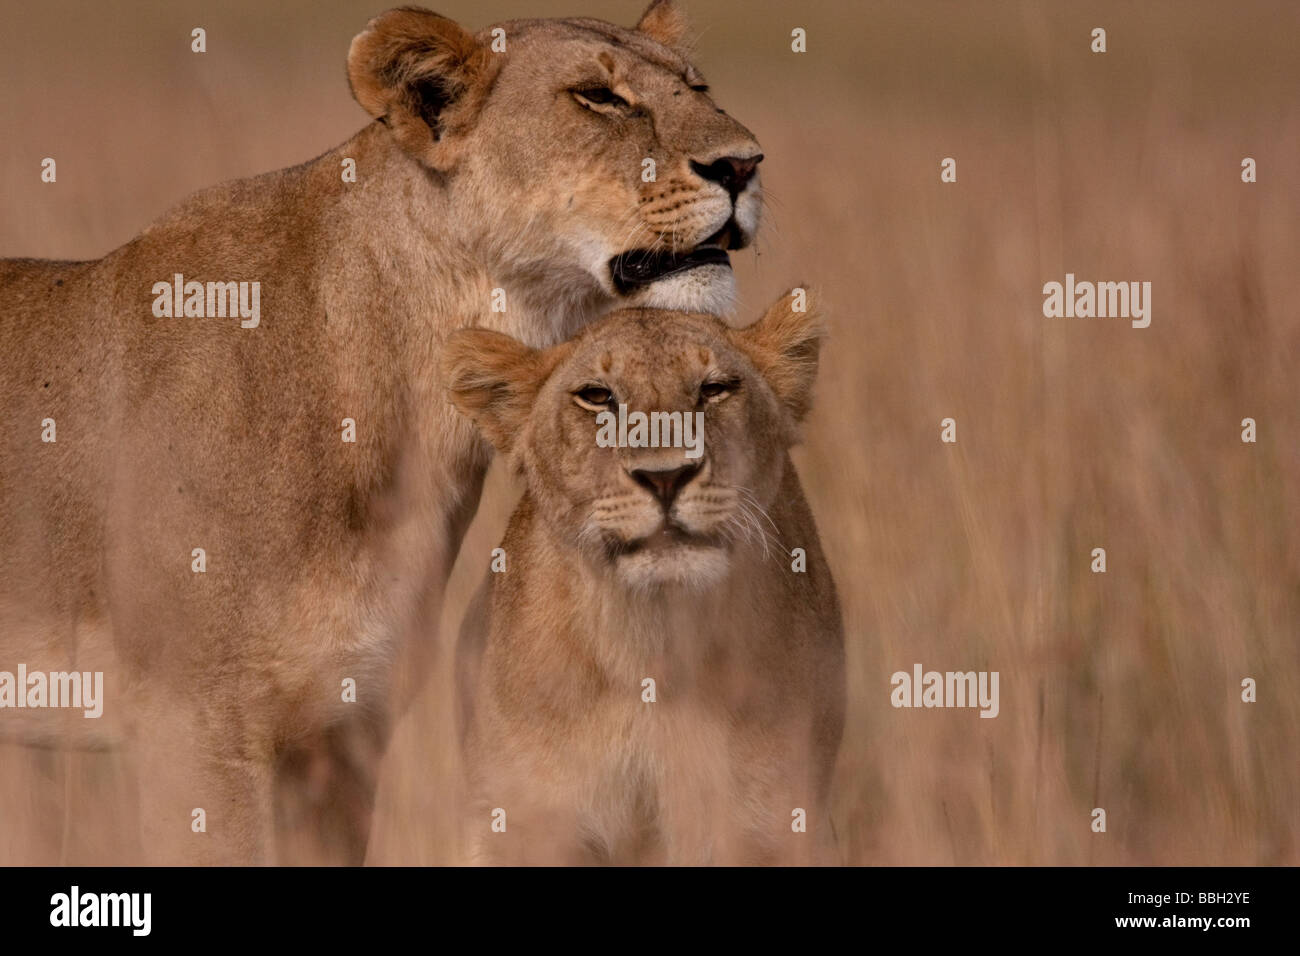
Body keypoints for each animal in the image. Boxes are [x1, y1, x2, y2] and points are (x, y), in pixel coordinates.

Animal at [444, 290, 845, 865]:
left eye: (714, 389)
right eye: (597, 396)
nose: (666, 476)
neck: (651, 644)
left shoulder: (769, 820)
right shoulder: (526, 821)